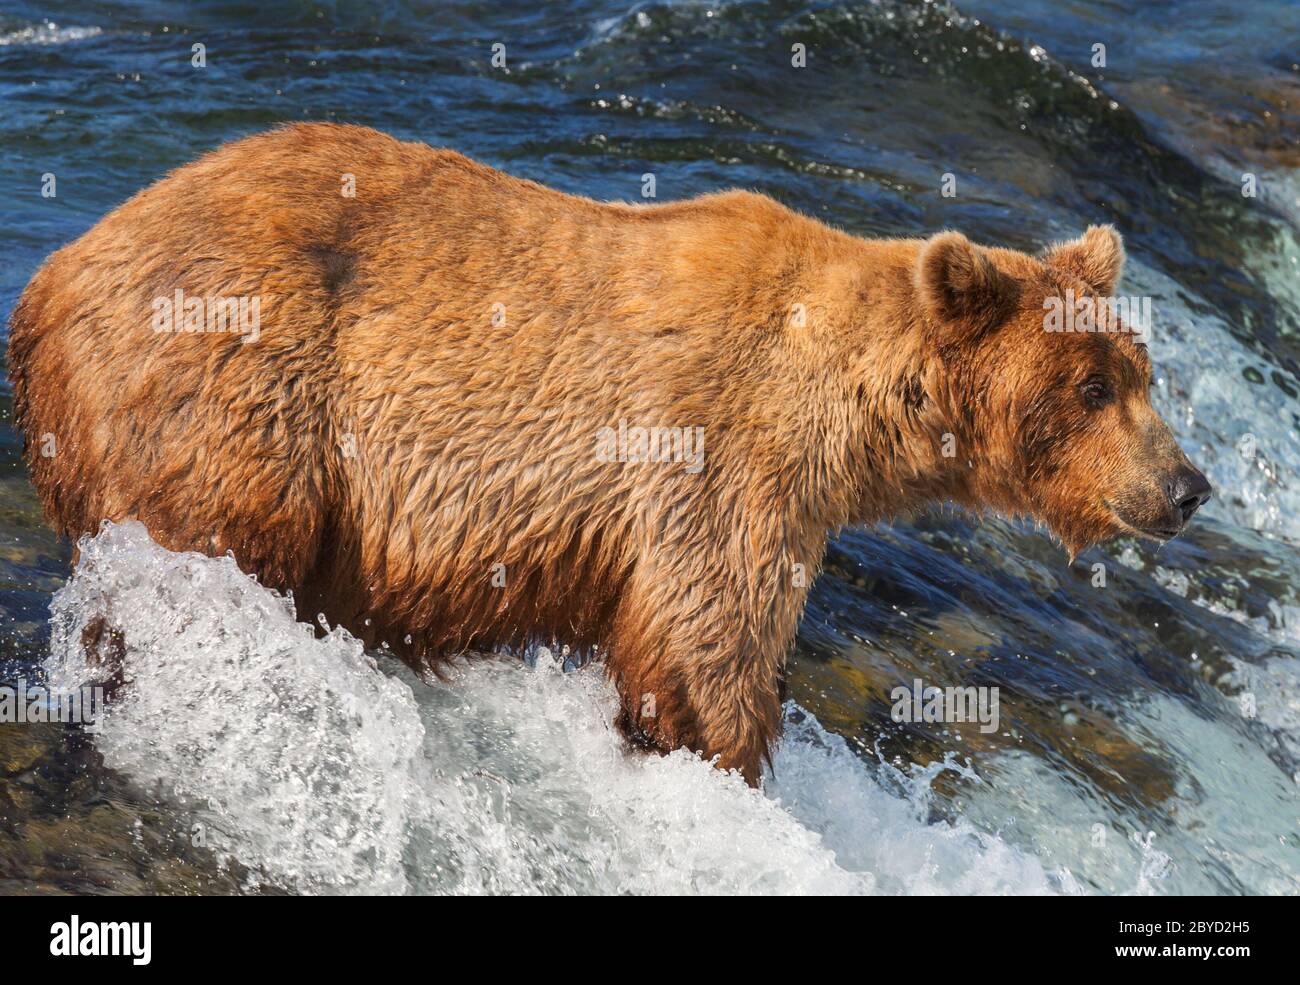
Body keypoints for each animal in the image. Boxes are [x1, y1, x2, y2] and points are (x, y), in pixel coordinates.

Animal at [7, 123, 1211, 785]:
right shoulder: (716, 462)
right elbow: (702, 651)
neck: (844, 410)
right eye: (1093, 387)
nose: (1188, 486)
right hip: (238, 387)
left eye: (1141, 371)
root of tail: (49, 282)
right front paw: (728, 763)